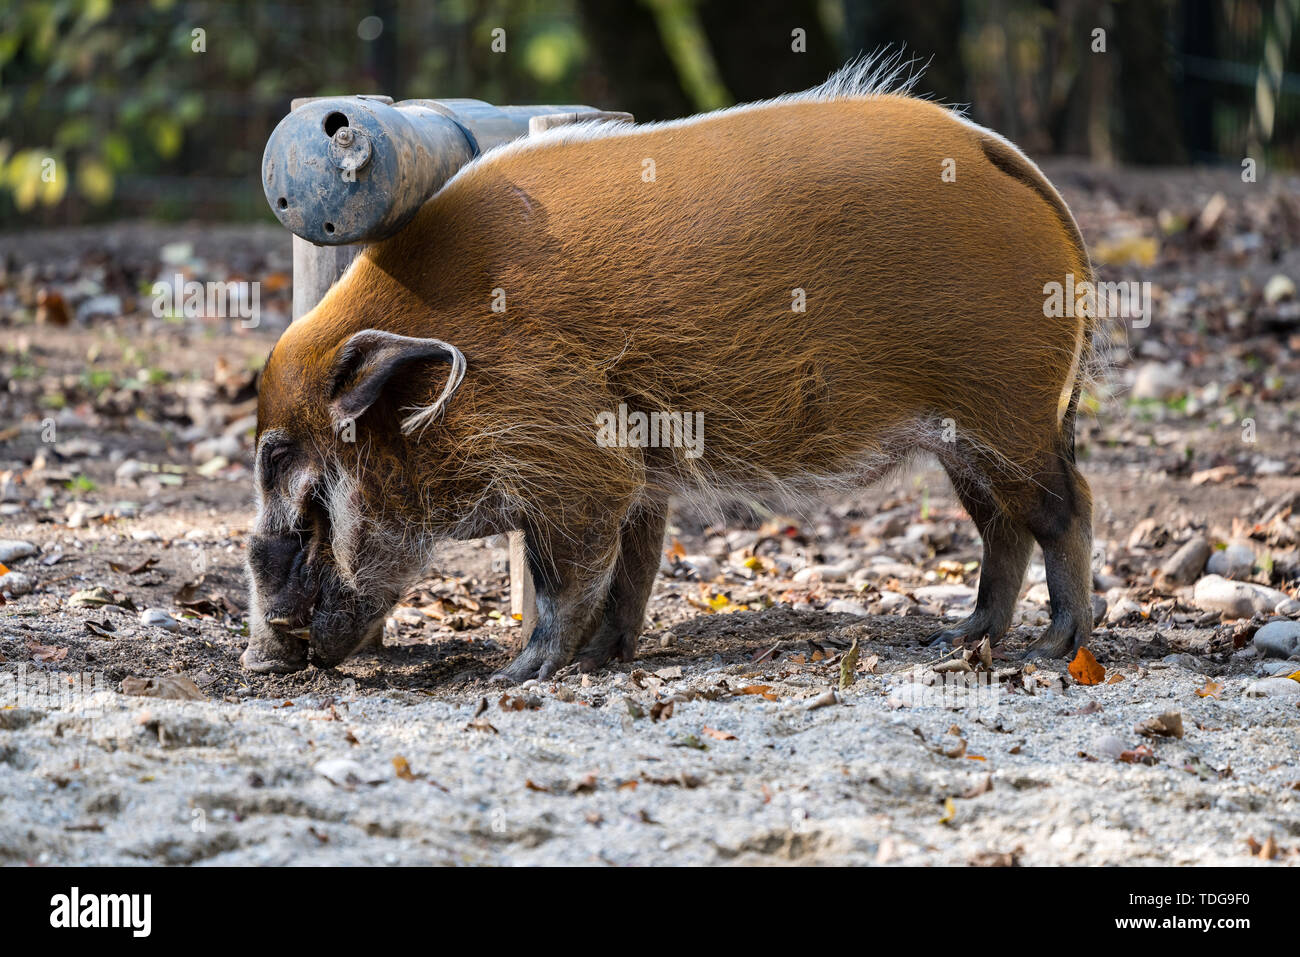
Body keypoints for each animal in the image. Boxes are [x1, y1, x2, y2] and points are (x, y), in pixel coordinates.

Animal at [244, 56, 1098, 681]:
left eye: (286, 460)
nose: (263, 658)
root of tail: (1009, 160)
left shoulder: (576, 462)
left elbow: (569, 572)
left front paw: (516, 673)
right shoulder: (639, 469)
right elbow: (633, 566)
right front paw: (603, 658)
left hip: (1006, 408)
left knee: (1068, 507)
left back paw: (1053, 646)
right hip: (968, 432)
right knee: (1002, 528)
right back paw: (958, 637)